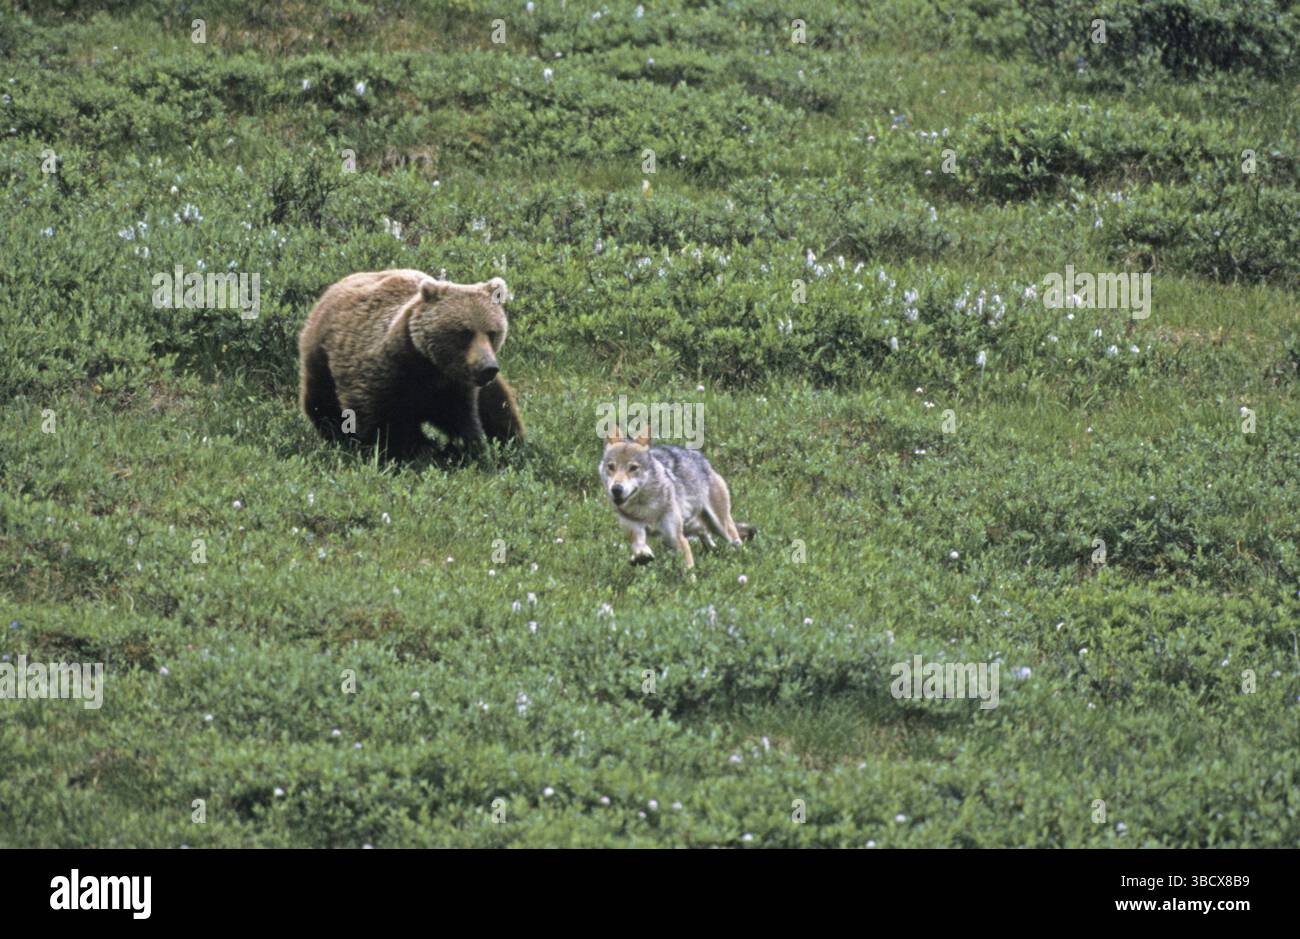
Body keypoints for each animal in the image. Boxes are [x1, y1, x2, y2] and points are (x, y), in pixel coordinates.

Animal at [298, 269, 525, 457]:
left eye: (492, 332)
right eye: (464, 333)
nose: (488, 368)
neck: (428, 366)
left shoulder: (455, 386)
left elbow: (465, 418)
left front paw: (470, 450)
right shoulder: (384, 378)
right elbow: (381, 423)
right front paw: (410, 452)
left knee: (499, 404)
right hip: (320, 358)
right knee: (321, 403)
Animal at [599, 427, 755, 570]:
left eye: (633, 468)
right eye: (611, 467)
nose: (616, 489)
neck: (646, 508)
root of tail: (704, 460)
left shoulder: (677, 538)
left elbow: (689, 571)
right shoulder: (635, 532)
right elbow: (639, 547)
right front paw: (641, 558)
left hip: (720, 527)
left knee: (736, 541)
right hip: (690, 527)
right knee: (705, 535)